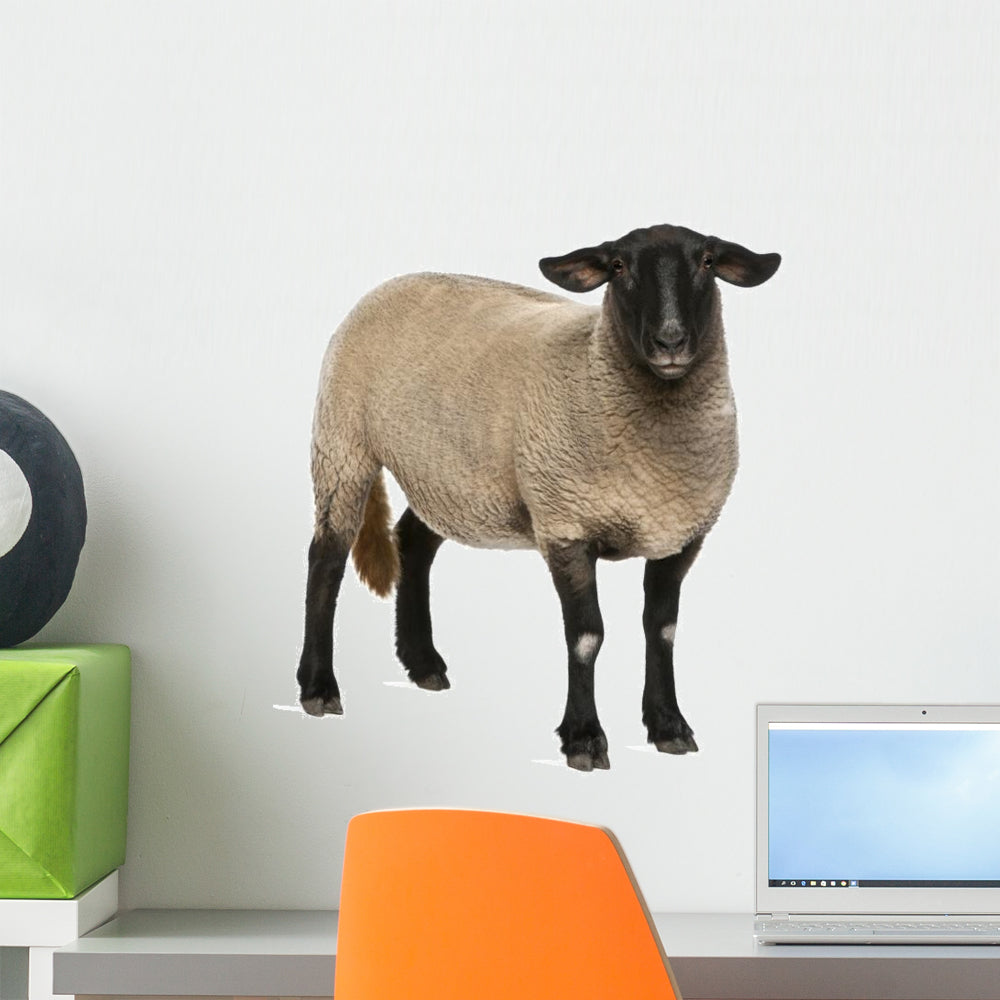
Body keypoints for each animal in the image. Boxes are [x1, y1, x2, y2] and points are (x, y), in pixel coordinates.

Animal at [298, 224, 780, 770]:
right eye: (618, 267)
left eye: (707, 261)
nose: (671, 341)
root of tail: (389, 284)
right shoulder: (564, 525)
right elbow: (587, 637)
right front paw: (584, 738)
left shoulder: (679, 534)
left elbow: (662, 631)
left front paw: (668, 725)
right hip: (343, 443)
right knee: (326, 558)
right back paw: (318, 687)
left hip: (447, 477)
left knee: (412, 543)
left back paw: (423, 664)